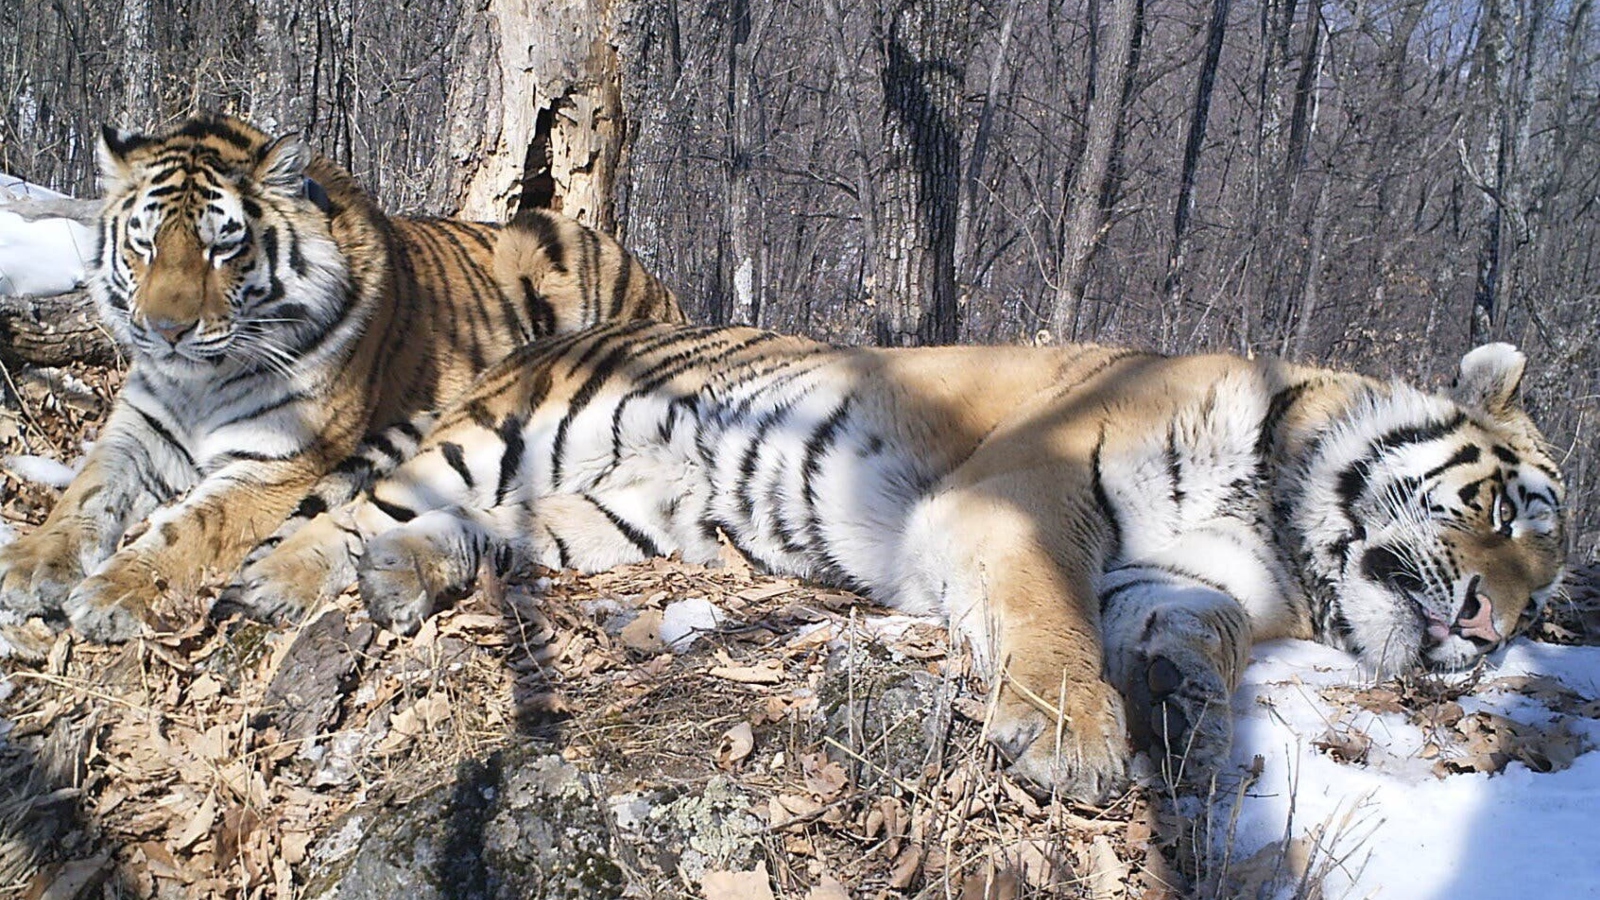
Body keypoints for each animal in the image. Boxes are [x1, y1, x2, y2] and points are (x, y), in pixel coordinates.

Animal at [0, 114, 682, 642]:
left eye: (223, 248)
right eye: (143, 244)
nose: (166, 330)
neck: (200, 381)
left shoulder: (276, 463)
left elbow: (187, 530)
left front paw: (113, 591)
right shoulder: (138, 431)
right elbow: (83, 495)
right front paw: (27, 567)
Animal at [222, 321, 1564, 802]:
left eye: (1547, 588)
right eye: (1506, 515)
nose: (1494, 631)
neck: (1276, 519)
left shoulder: (1182, 579)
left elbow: (1199, 633)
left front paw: (1182, 711)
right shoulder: (1023, 494)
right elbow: (1050, 620)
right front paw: (1073, 741)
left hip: (614, 519)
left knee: (478, 534)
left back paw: (405, 575)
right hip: (510, 435)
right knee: (349, 506)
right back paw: (279, 583)